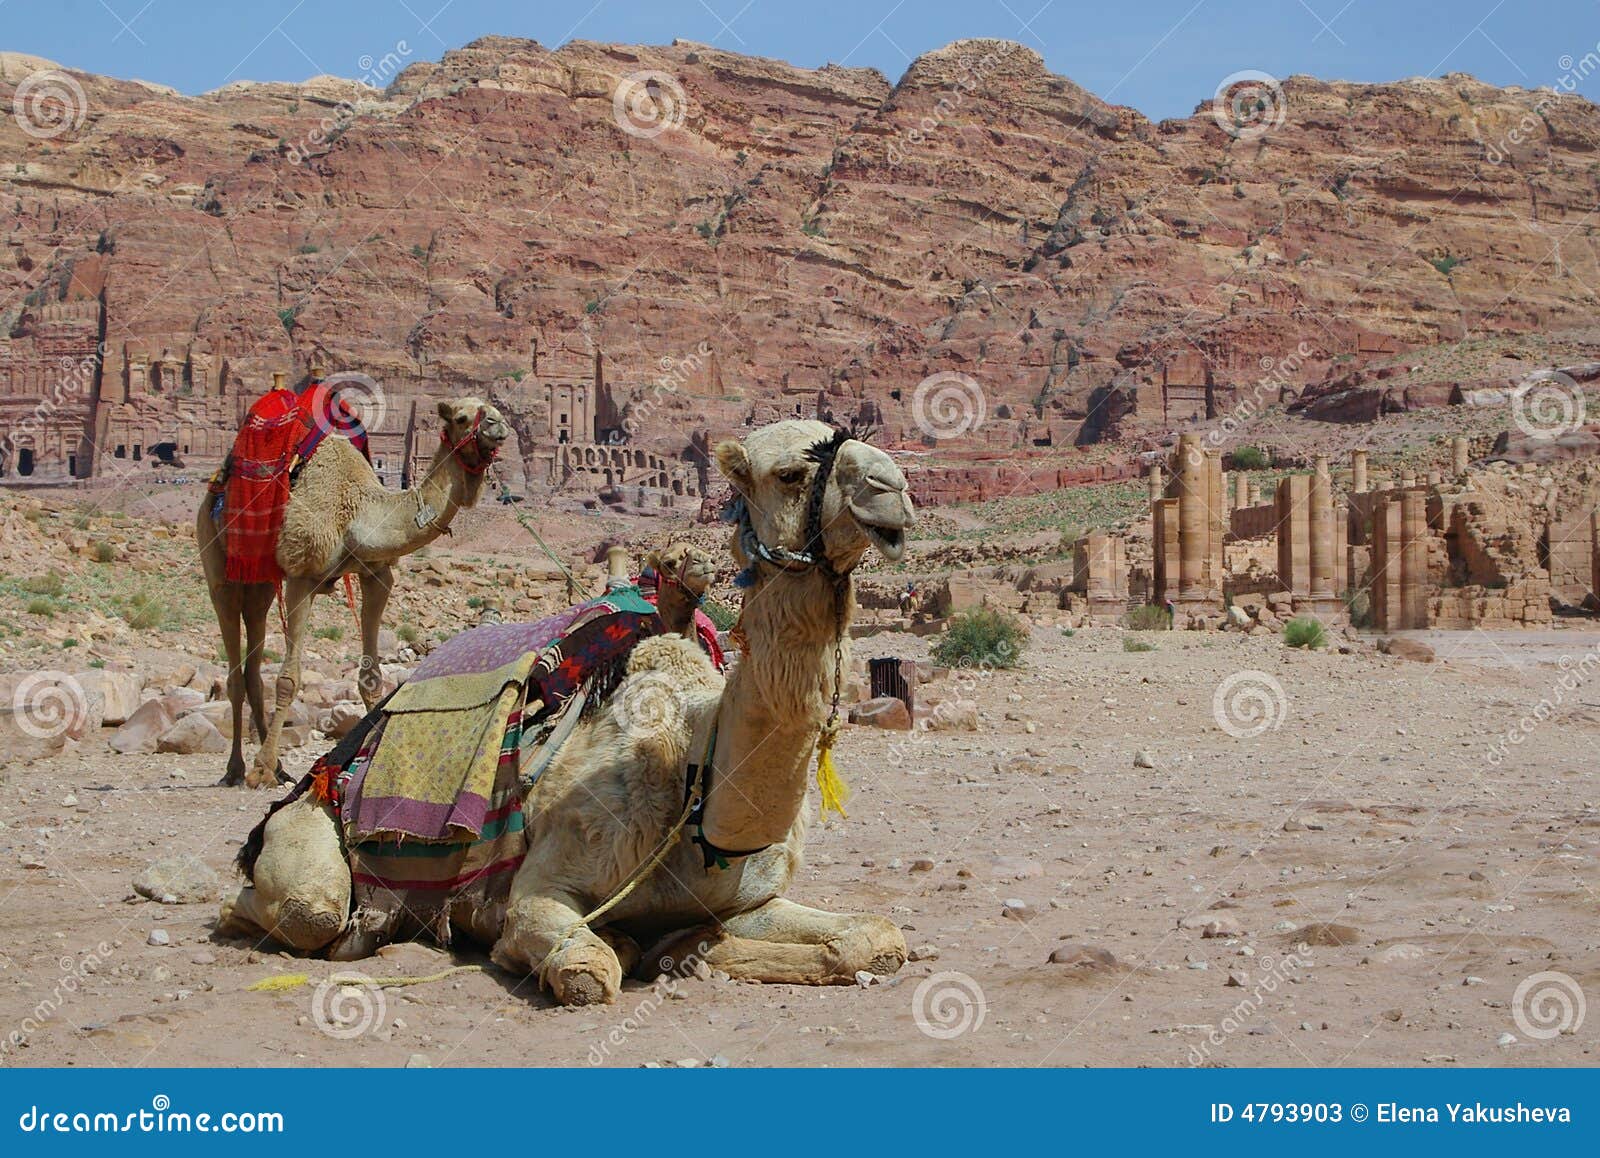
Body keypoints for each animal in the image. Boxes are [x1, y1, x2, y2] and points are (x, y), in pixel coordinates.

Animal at [197, 397, 511, 789]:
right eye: (462, 417)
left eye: (494, 408)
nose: (498, 425)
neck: (359, 513)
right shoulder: (302, 575)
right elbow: (288, 680)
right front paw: (261, 769)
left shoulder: (376, 575)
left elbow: (372, 680)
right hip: (218, 566)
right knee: (234, 668)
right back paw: (238, 768)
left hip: (259, 581)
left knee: (253, 660)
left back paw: (278, 767)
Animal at [217, 419, 916, 1007]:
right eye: (791, 473)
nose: (895, 488)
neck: (697, 779)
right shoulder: (541, 889)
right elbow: (588, 967)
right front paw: (633, 951)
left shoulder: (749, 898)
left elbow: (878, 937)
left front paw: (691, 948)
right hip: (310, 841)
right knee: (308, 909)